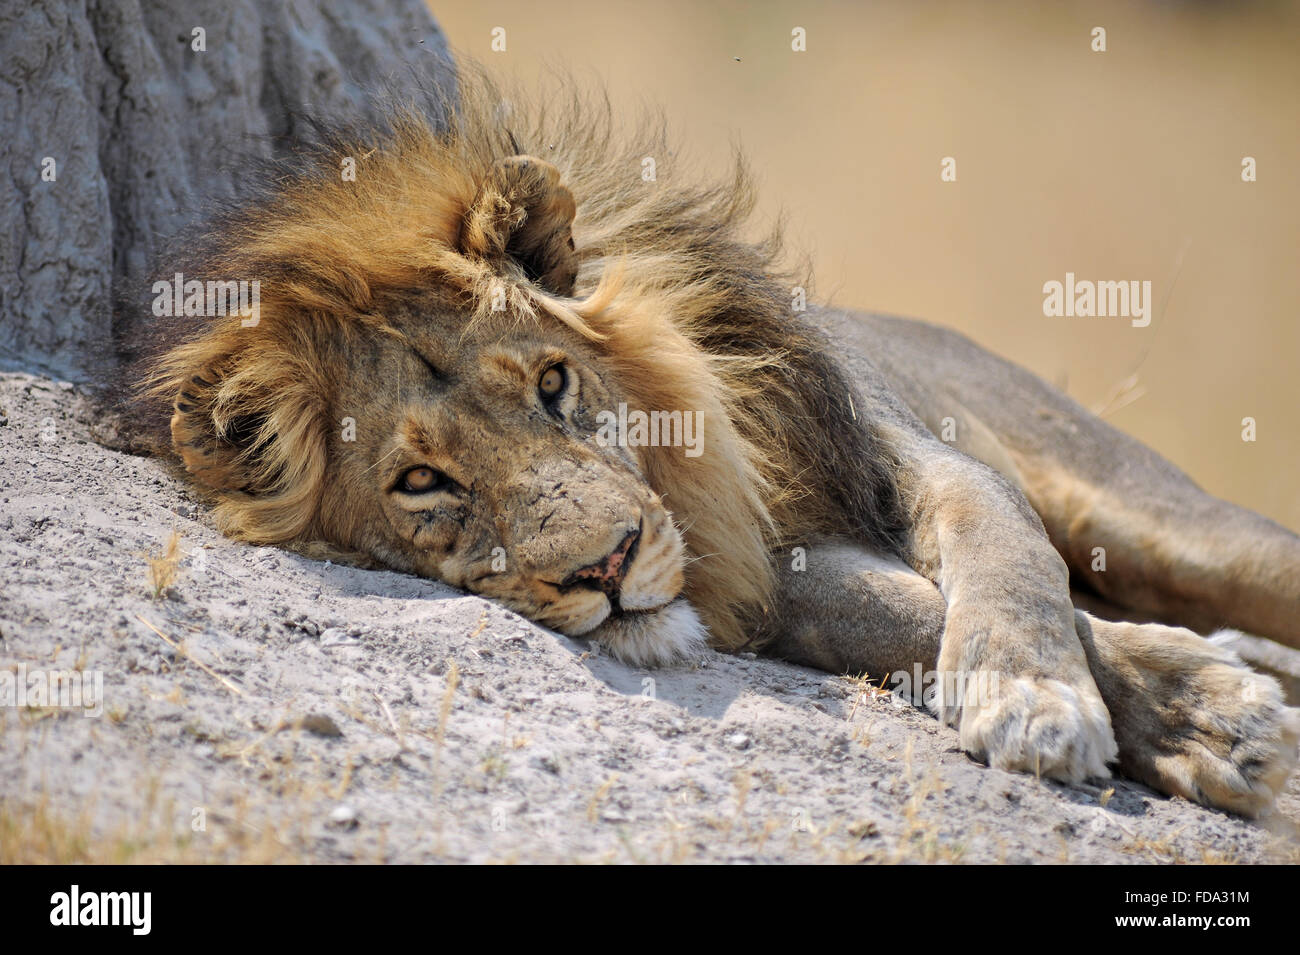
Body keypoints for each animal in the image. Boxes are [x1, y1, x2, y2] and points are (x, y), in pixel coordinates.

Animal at [128, 69, 1299, 818]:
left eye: (552, 385)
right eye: (423, 481)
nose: (605, 567)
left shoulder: (884, 444)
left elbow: (1004, 542)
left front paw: (1042, 694)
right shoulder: (768, 570)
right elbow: (907, 615)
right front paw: (1203, 715)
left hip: (1178, 524)